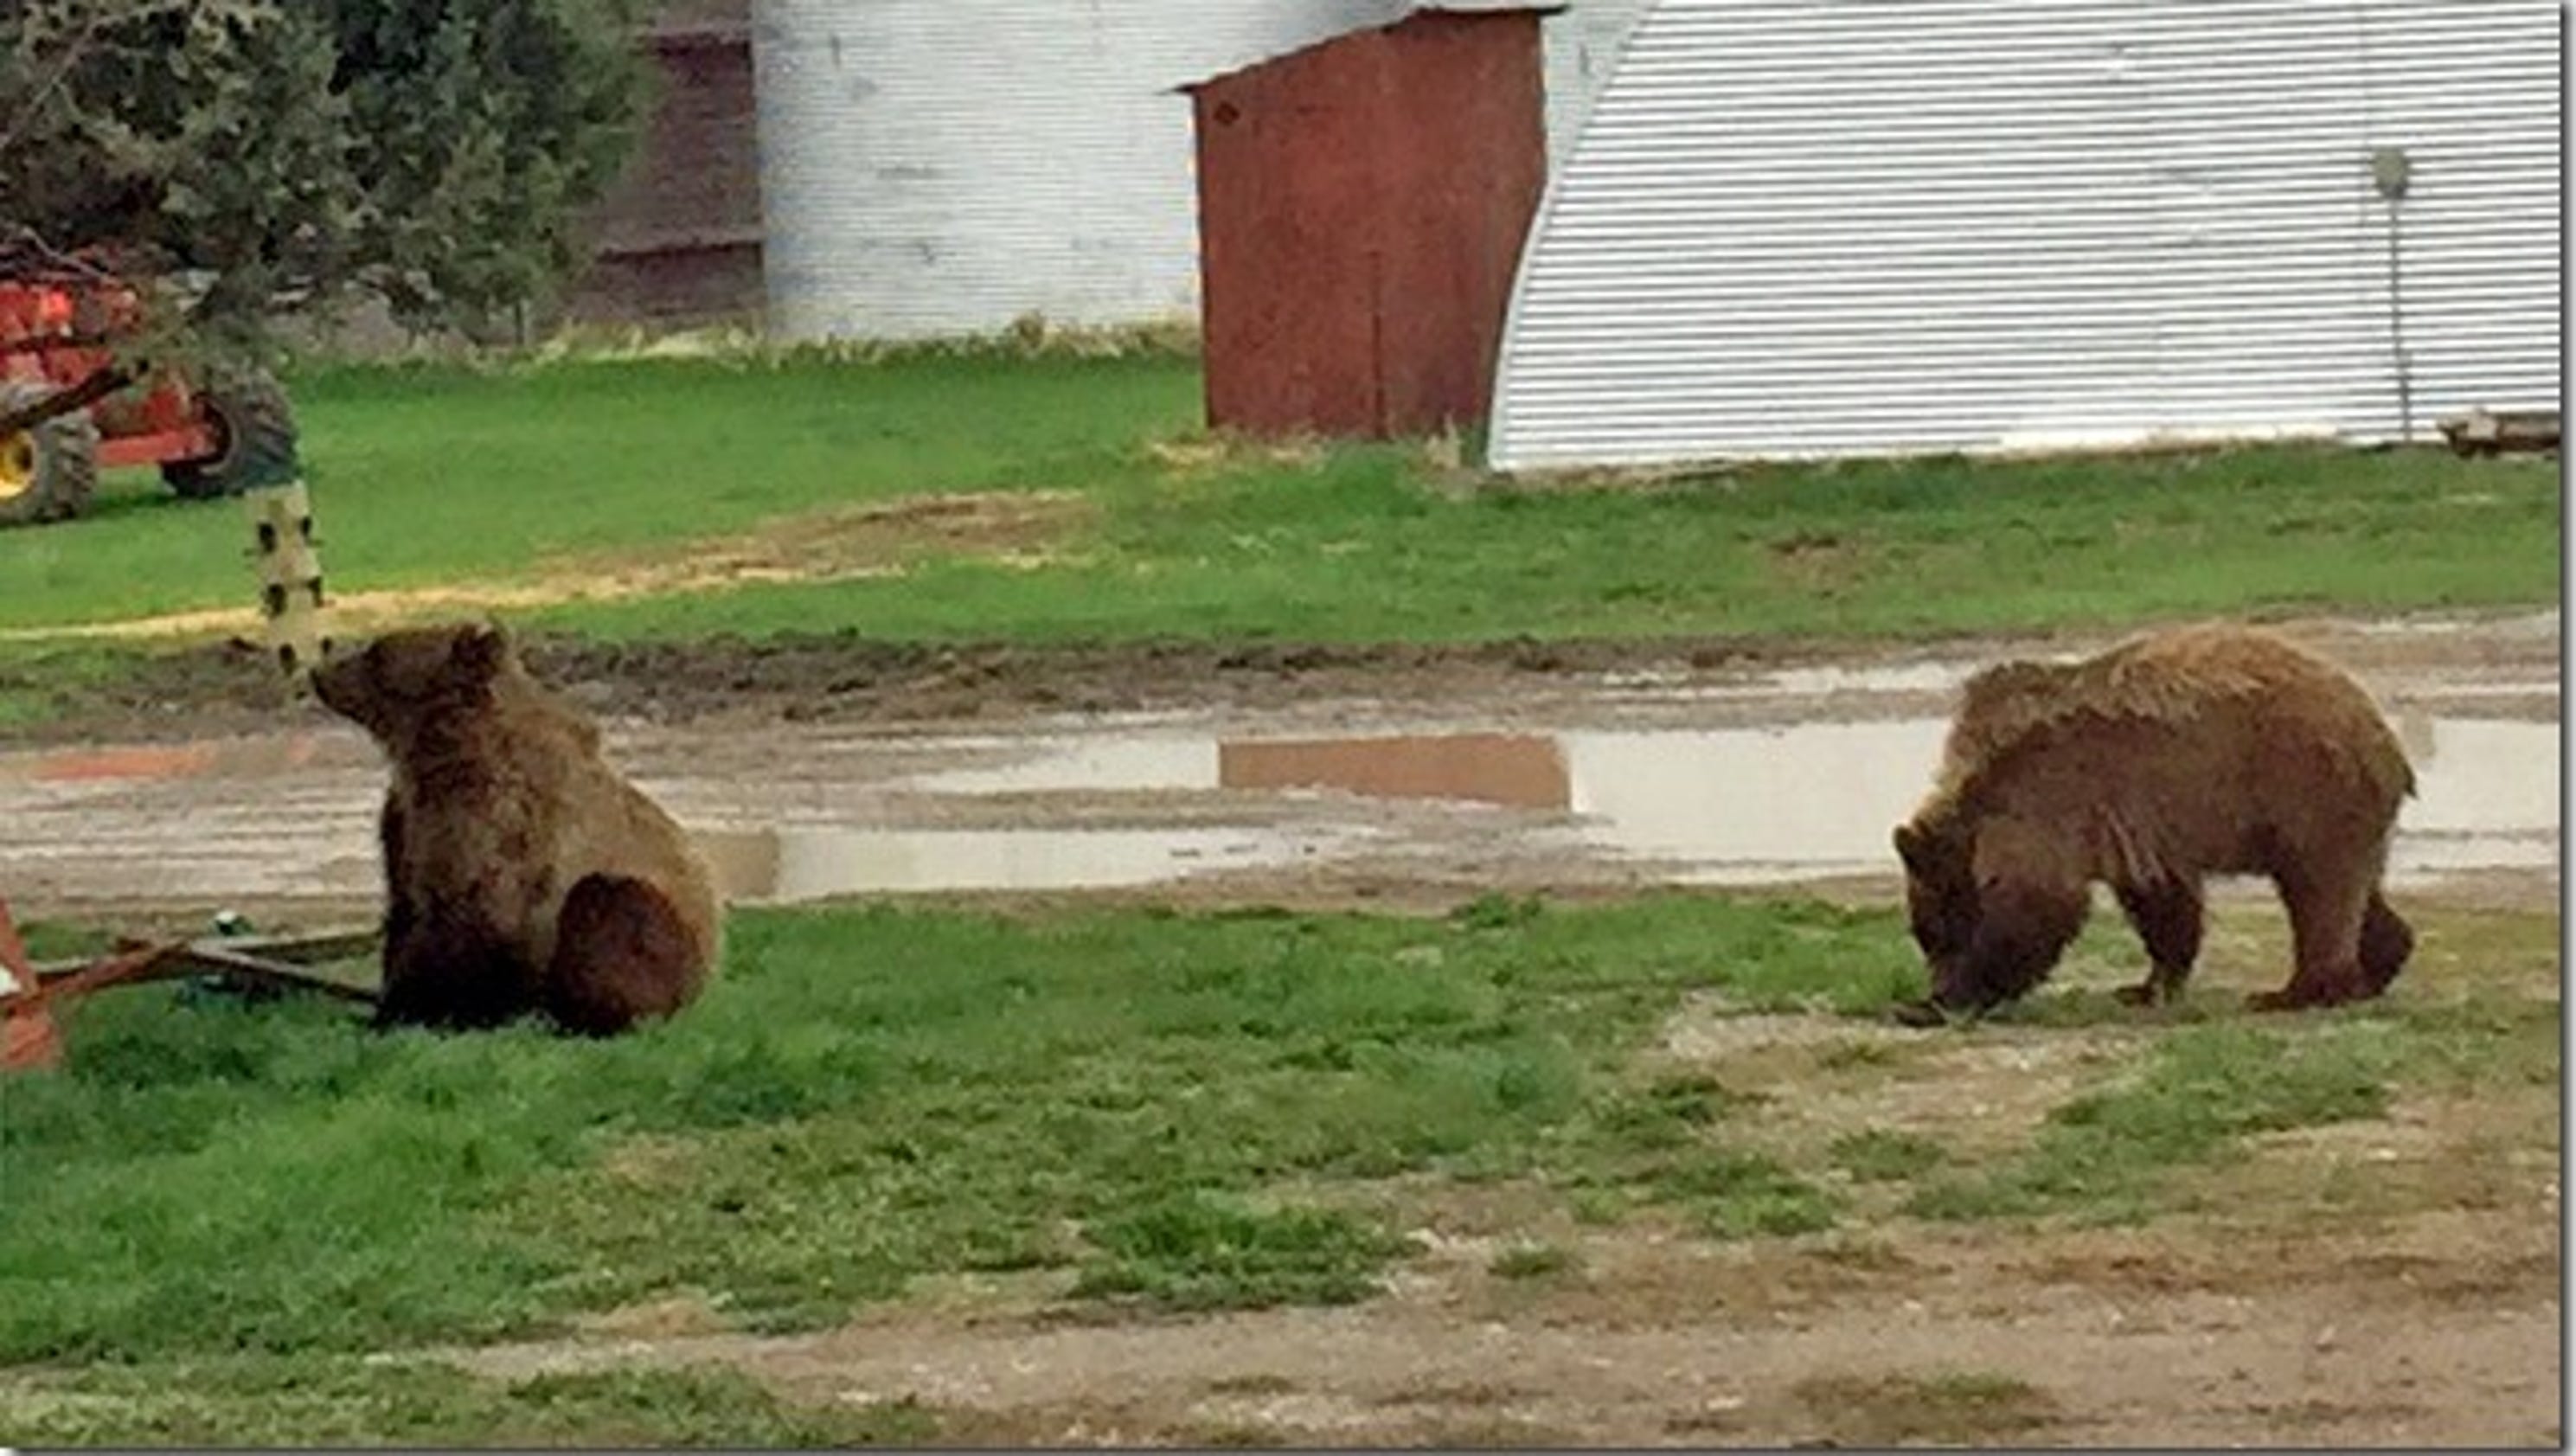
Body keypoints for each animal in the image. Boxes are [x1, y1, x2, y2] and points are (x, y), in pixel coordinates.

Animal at [310, 620, 722, 1036]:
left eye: (377, 652)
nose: (320, 669)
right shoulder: (408, 822)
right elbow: (407, 908)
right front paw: (387, 1007)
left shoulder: (495, 823)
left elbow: (468, 916)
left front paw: (419, 1013)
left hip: (667, 933)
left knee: (607, 904)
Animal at [1889, 622, 2415, 1023]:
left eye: (1932, 930)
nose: (1934, 984)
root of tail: (2381, 734)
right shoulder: (2137, 829)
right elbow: (2162, 905)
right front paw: (2146, 987)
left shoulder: (2049, 798)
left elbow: (2034, 899)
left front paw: (1942, 1000)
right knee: (2353, 887)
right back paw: (2379, 965)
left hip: (2303, 786)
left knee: (2320, 892)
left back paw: (2294, 992)